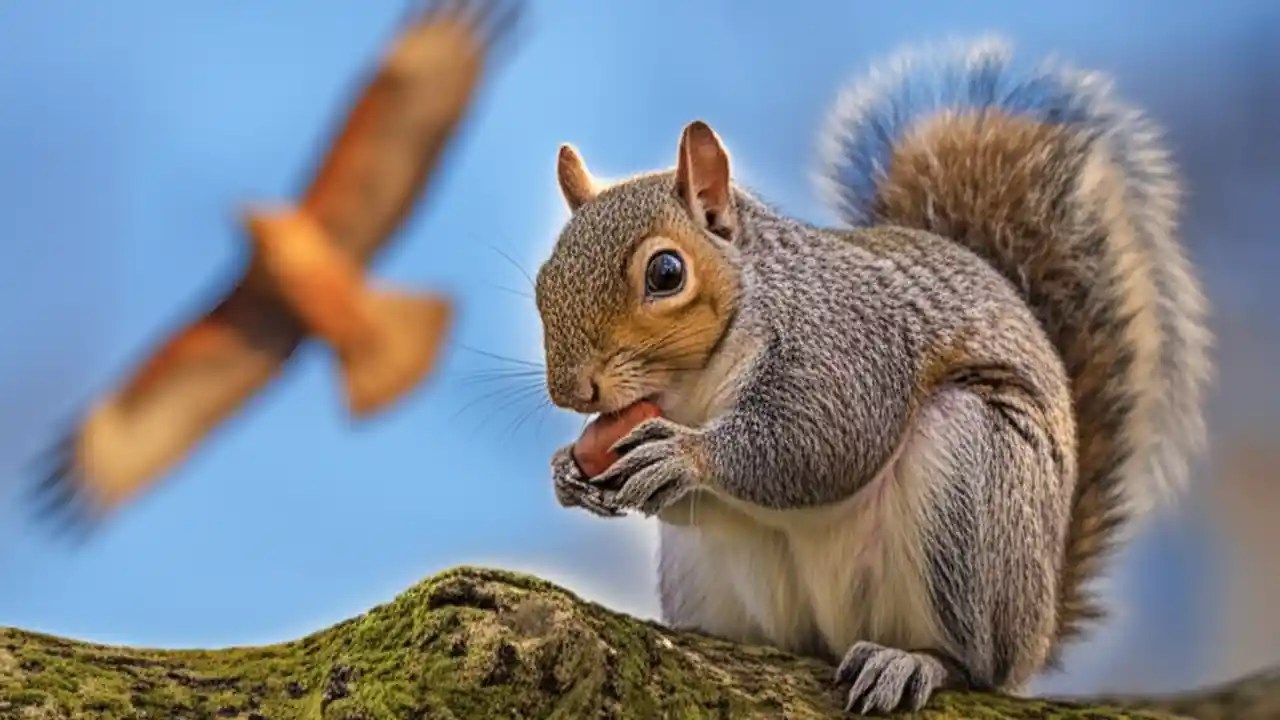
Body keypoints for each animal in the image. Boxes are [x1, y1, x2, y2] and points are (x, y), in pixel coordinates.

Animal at [534, 37, 1210, 715]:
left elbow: (821, 440)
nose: (572, 391)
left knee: (974, 665)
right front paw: (567, 471)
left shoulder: (848, 343)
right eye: (543, 281)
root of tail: (1036, 633)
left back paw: (914, 661)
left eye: (667, 273)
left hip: (973, 492)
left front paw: (685, 455)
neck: (692, 388)